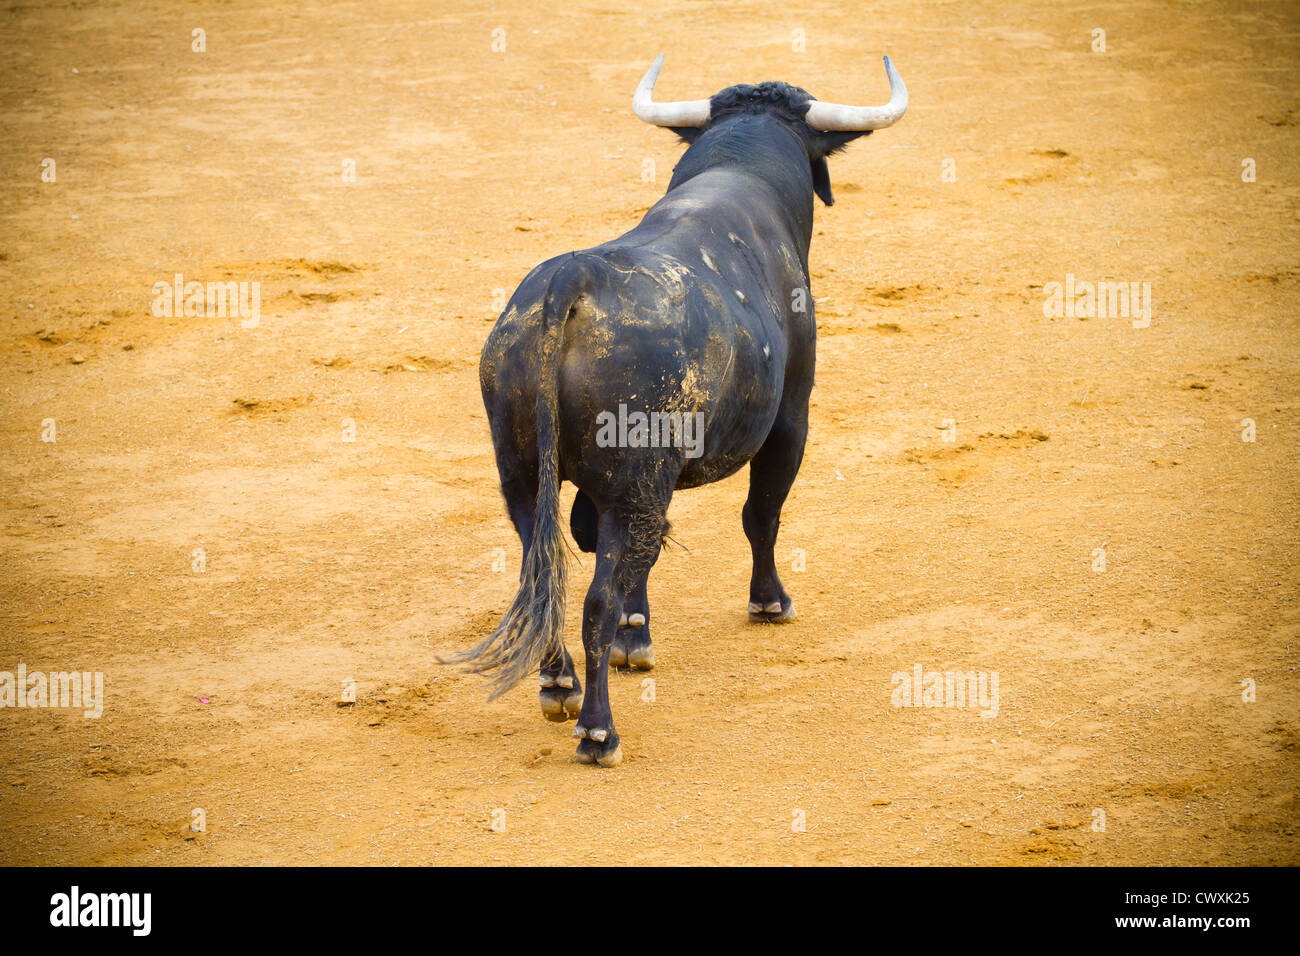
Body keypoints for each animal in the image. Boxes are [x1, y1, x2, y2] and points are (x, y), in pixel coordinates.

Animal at [445, 55, 908, 766]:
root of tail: (570, 281)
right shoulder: (790, 419)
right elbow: (760, 514)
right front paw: (769, 603)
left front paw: (639, 635)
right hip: (637, 479)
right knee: (595, 597)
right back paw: (599, 731)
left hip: (523, 475)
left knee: (547, 571)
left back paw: (559, 685)